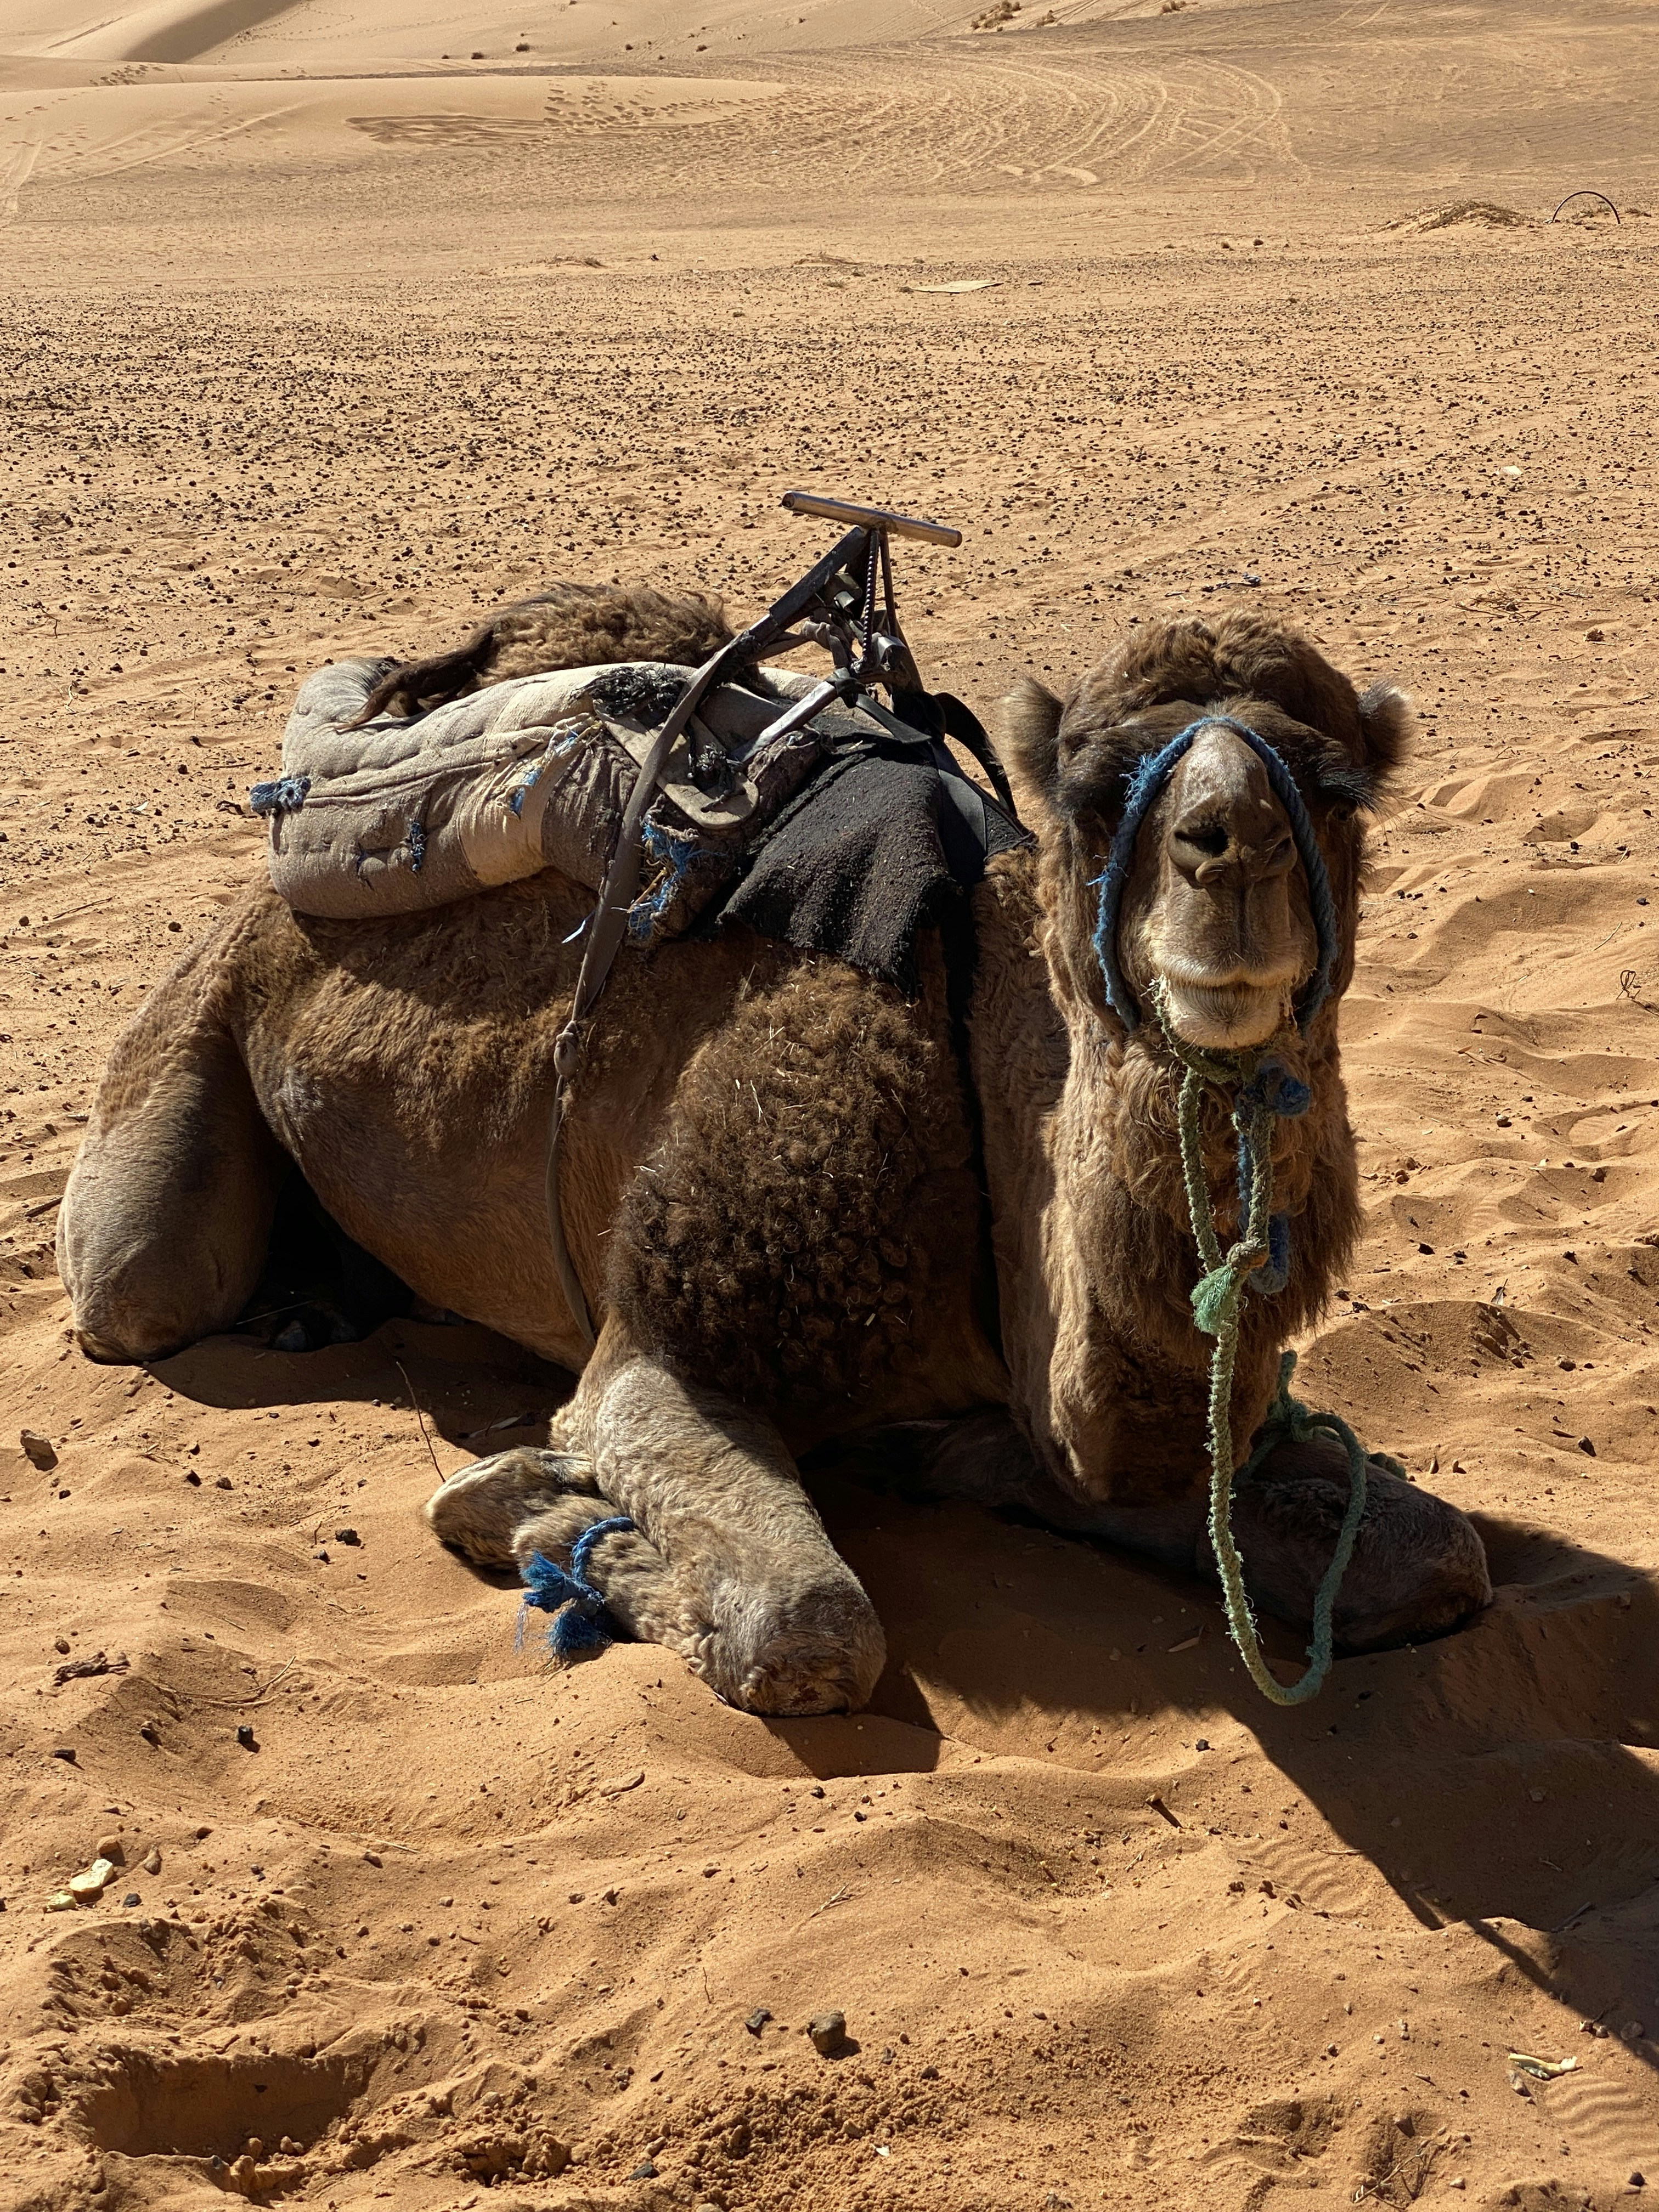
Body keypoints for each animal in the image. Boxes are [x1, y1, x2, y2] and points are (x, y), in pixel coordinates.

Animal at [56, 601, 1492, 1715]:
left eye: (1335, 792)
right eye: (1095, 796)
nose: (1226, 853)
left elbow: (1437, 1558)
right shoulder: (669, 1333)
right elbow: (807, 1624)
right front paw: (530, 1505)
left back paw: (328, 1300)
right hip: (192, 1044)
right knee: (139, 1285)